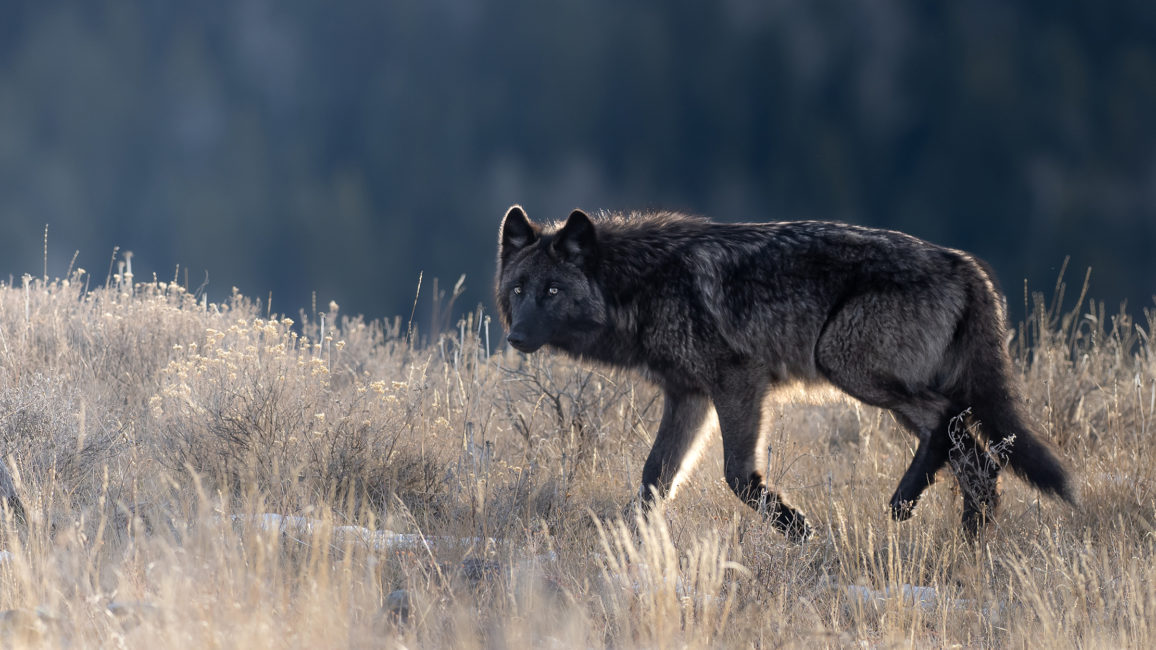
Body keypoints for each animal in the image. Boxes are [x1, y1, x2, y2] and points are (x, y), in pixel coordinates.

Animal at [496, 206, 1074, 540]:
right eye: (519, 290)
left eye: (552, 291)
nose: (516, 337)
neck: (644, 283)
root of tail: (965, 265)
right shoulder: (688, 396)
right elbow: (653, 479)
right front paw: (629, 546)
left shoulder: (739, 381)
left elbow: (737, 476)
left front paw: (798, 529)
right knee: (980, 462)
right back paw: (969, 544)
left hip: (846, 365)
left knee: (953, 428)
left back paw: (904, 505)